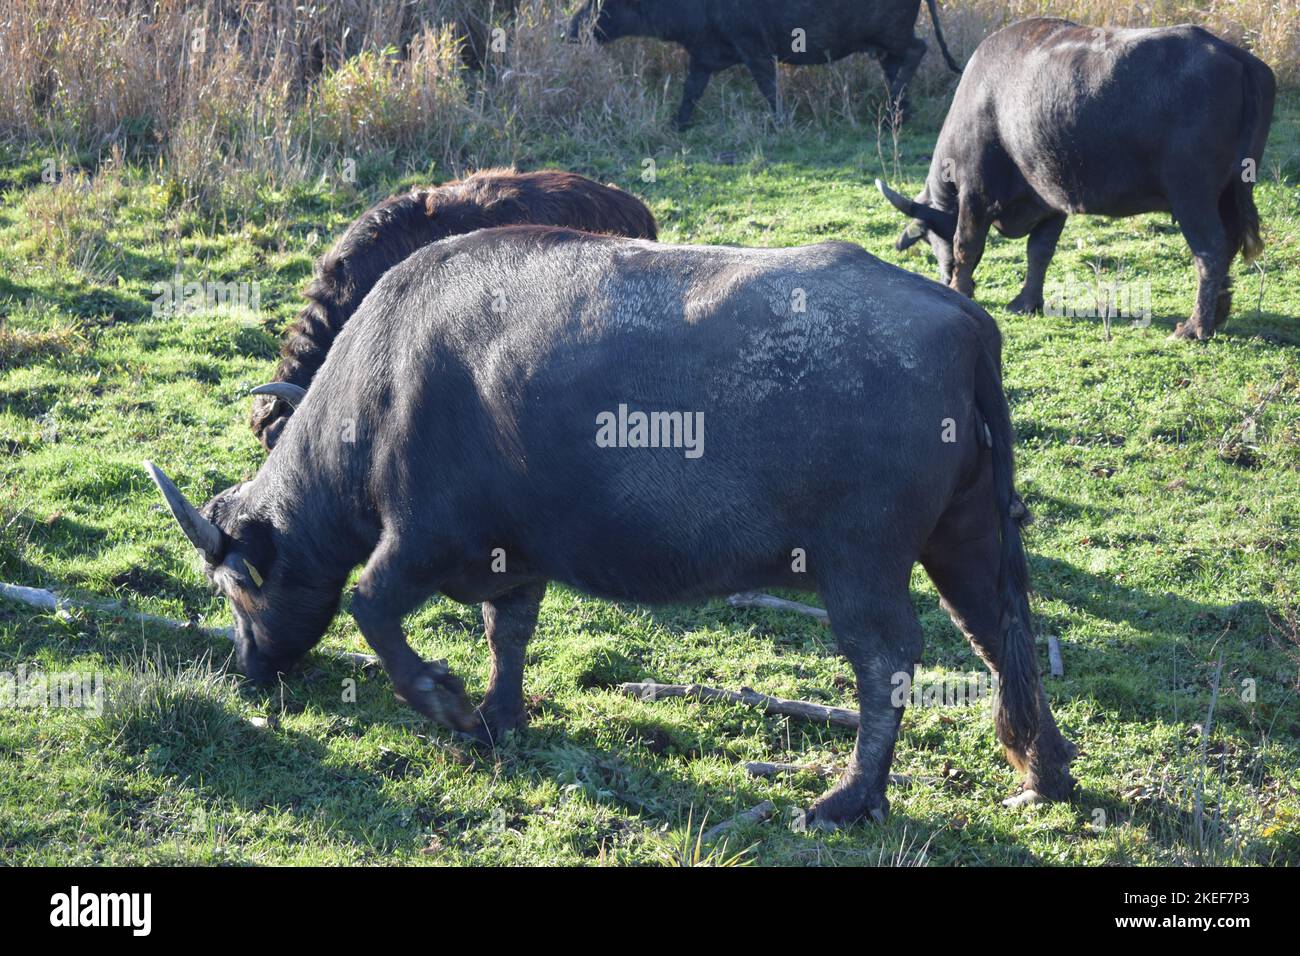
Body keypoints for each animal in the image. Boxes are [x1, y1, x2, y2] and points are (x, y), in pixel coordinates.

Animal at [147, 226, 1075, 825]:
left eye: (232, 587)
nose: (247, 667)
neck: (383, 389)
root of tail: (965, 322)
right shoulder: (513, 555)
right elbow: (509, 632)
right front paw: (498, 716)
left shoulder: (419, 538)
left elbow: (371, 607)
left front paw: (447, 704)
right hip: (964, 538)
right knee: (1002, 633)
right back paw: (1045, 771)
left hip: (862, 564)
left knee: (889, 660)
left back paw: (850, 797)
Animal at [567, 0, 961, 129]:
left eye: (603, 3)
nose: (570, 30)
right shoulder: (704, 56)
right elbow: (691, 91)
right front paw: (677, 124)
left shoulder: (755, 49)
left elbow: (767, 86)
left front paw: (779, 122)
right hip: (883, 43)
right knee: (896, 65)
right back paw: (901, 111)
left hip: (892, 35)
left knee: (917, 51)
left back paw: (896, 112)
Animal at [878, 18, 1275, 340]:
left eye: (929, 238)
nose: (943, 279)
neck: (983, 104)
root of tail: (1238, 59)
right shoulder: (1050, 200)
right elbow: (1039, 252)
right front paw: (1027, 301)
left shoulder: (976, 193)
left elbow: (967, 245)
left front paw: (961, 290)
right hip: (1230, 192)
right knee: (1229, 245)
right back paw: (1218, 314)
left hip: (1192, 196)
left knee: (1211, 250)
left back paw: (1196, 327)